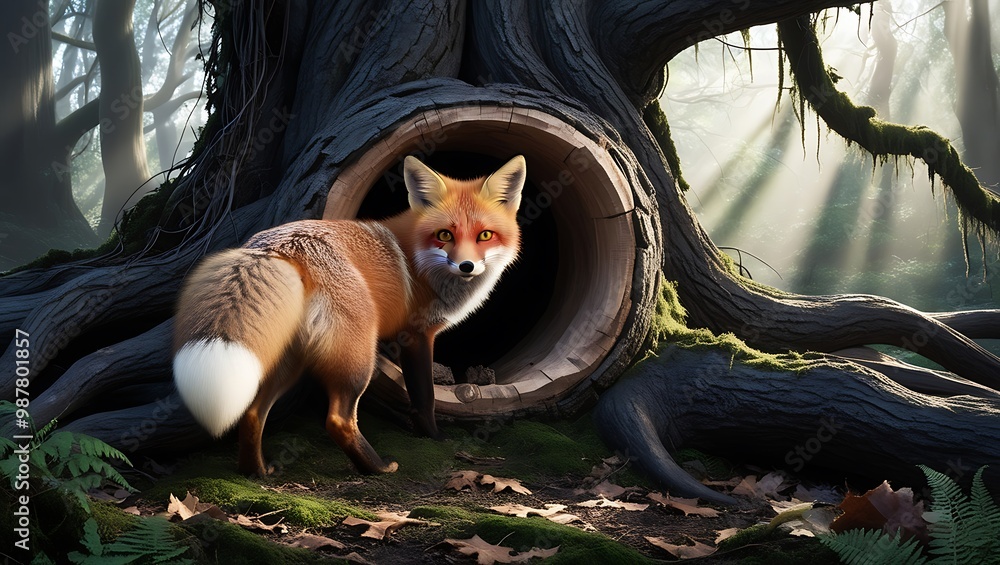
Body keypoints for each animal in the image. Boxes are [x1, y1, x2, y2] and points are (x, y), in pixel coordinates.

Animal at [172, 155, 525, 476]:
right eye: (444, 235)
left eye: (484, 235)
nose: (467, 266)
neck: (422, 261)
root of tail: (277, 247)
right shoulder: (417, 334)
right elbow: (424, 398)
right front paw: (435, 438)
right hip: (358, 356)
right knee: (337, 420)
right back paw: (377, 468)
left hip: (289, 360)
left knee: (252, 414)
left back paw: (255, 472)